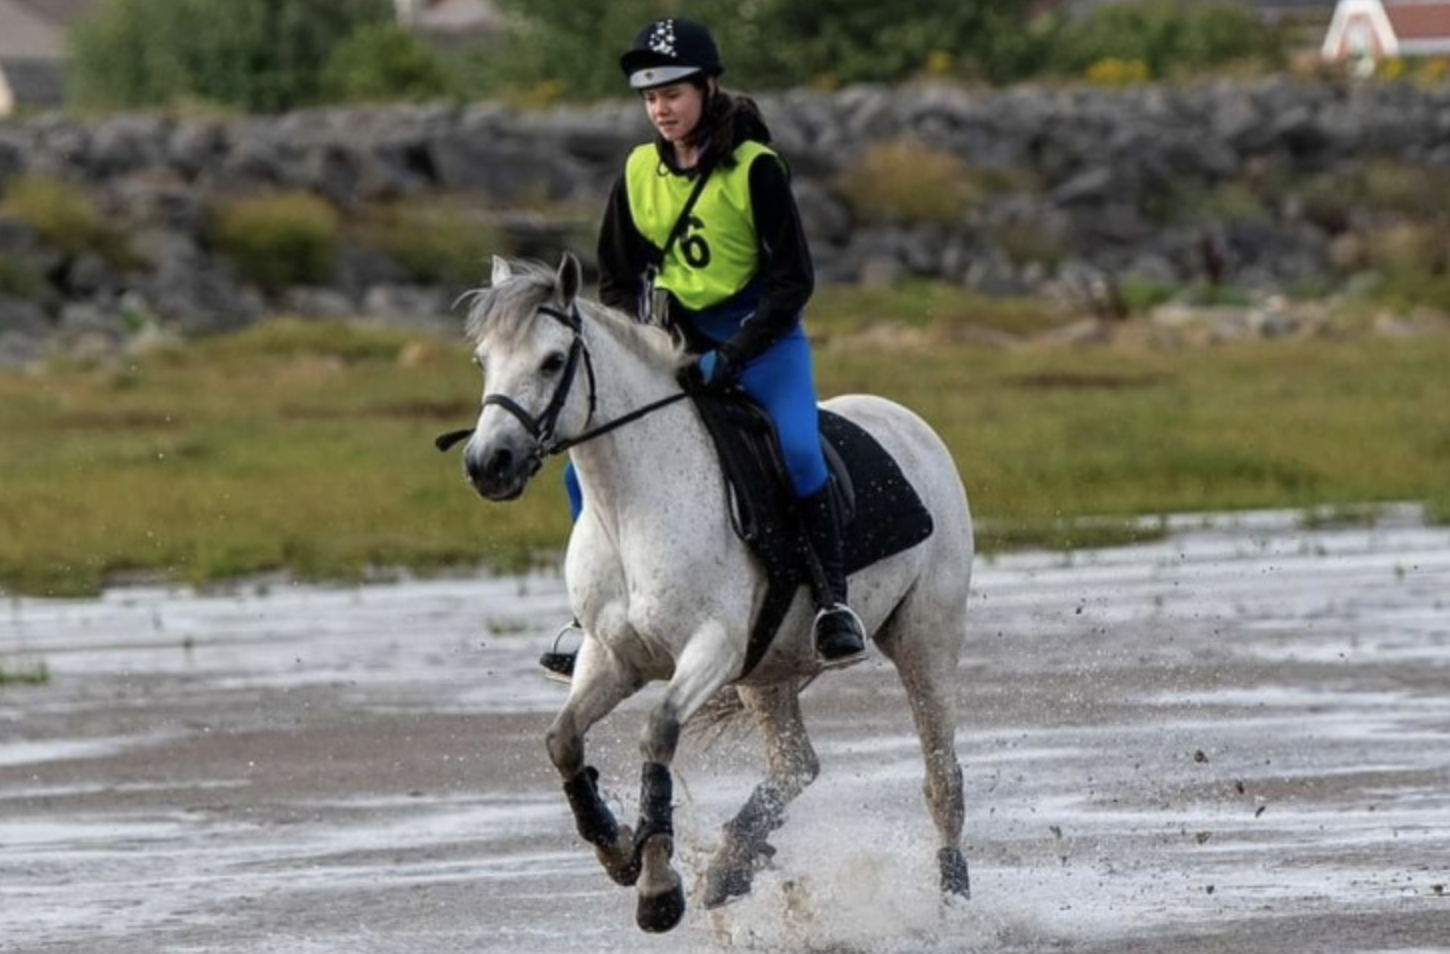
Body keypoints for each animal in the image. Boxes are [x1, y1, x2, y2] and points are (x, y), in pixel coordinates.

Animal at [451, 253, 974, 934]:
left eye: (552, 360)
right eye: (483, 360)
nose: (488, 464)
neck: (631, 506)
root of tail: (910, 424)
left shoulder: (712, 648)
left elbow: (658, 732)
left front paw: (657, 886)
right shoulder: (610, 656)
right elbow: (562, 741)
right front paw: (616, 846)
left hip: (923, 641)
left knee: (942, 779)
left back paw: (954, 902)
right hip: (768, 672)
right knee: (797, 764)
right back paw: (733, 863)